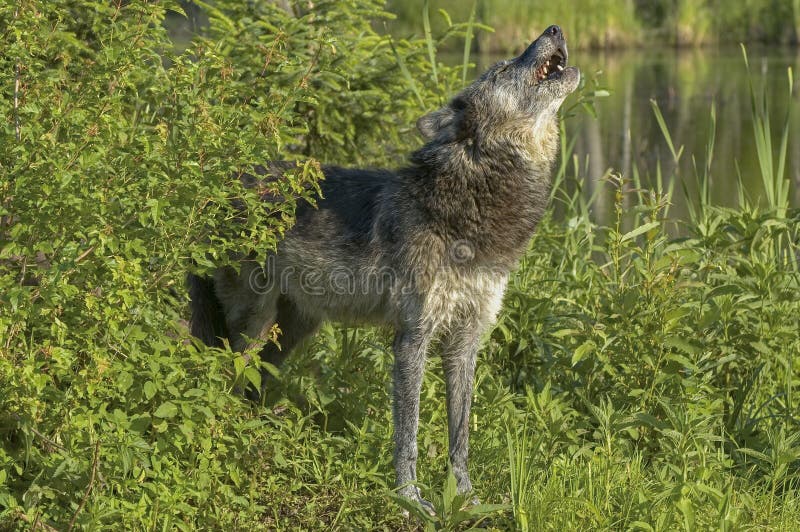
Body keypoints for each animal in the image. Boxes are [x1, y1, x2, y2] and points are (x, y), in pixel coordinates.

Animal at [188, 25, 579, 511]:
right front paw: (410, 498)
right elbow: (407, 433)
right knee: (229, 375)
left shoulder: (466, 340)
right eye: (503, 68)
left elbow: (460, 435)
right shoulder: (413, 338)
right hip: (254, 323)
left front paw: (465, 497)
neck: (472, 205)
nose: (554, 28)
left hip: (294, 330)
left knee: (256, 381)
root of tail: (219, 190)